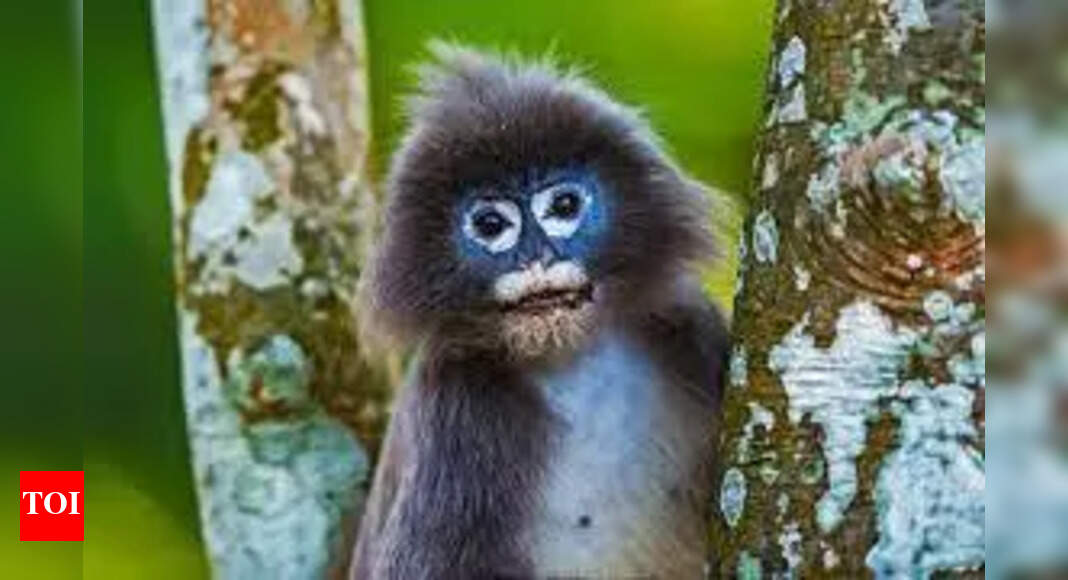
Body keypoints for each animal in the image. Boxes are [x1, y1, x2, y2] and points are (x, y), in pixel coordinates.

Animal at [350, 43, 729, 579]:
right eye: (491, 224)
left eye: (564, 205)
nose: (537, 259)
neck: (575, 360)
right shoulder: (457, 404)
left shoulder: (688, 322)